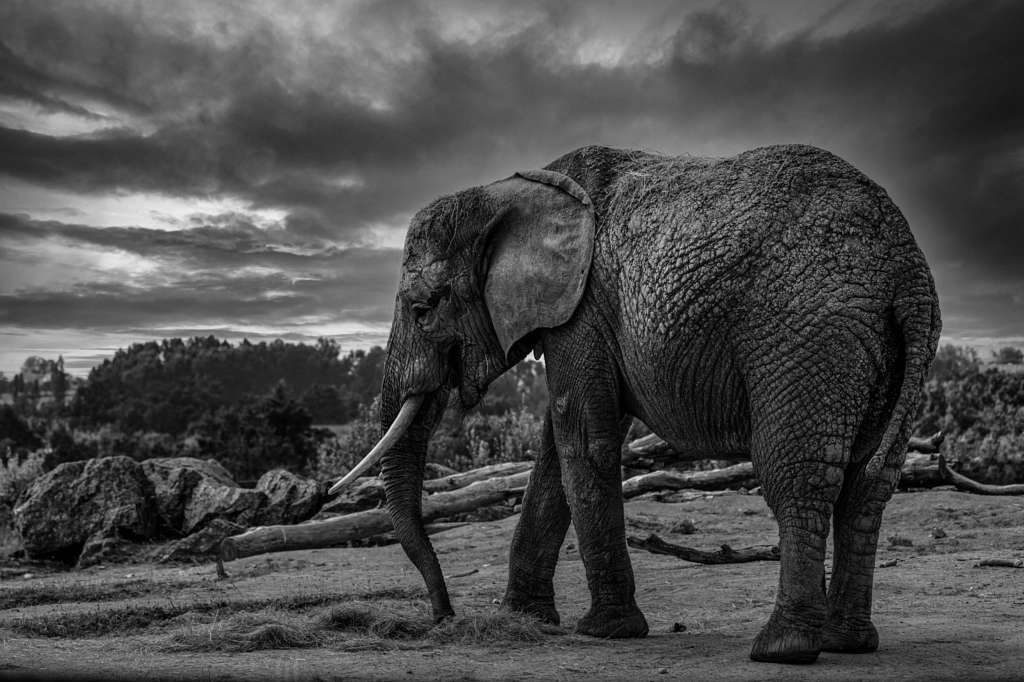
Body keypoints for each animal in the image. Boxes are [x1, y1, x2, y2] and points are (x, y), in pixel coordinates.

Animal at [329, 144, 940, 664]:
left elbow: (584, 439)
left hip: (804, 338)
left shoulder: (582, 305)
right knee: (870, 483)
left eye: (422, 310)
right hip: (898, 346)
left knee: (795, 477)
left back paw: (782, 648)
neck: (507, 190)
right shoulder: (584, 315)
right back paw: (848, 643)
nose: (444, 616)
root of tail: (906, 268)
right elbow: (555, 453)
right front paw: (524, 620)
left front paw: (605, 632)